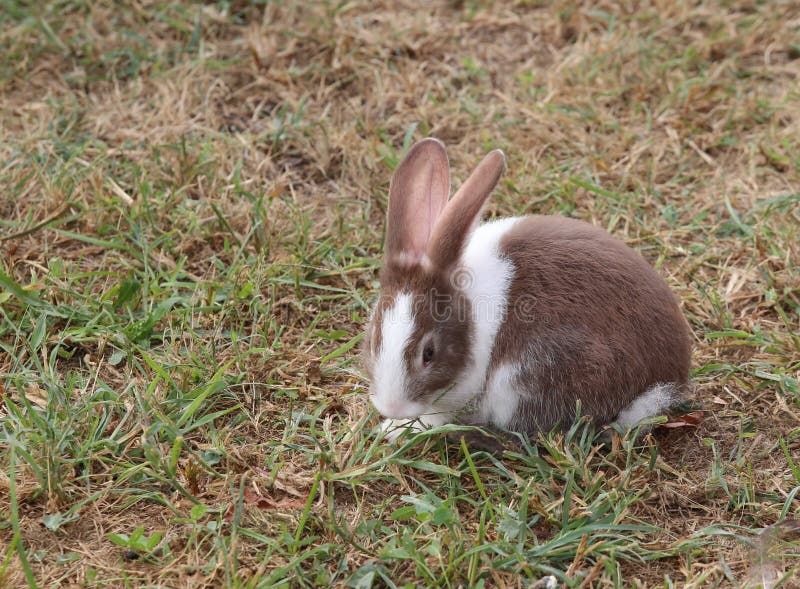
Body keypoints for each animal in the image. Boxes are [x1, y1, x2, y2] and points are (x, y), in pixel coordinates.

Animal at [362, 137, 692, 444]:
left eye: (428, 353)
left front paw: (394, 429)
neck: (468, 308)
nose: (391, 407)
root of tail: (664, 383)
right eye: (374, 340)